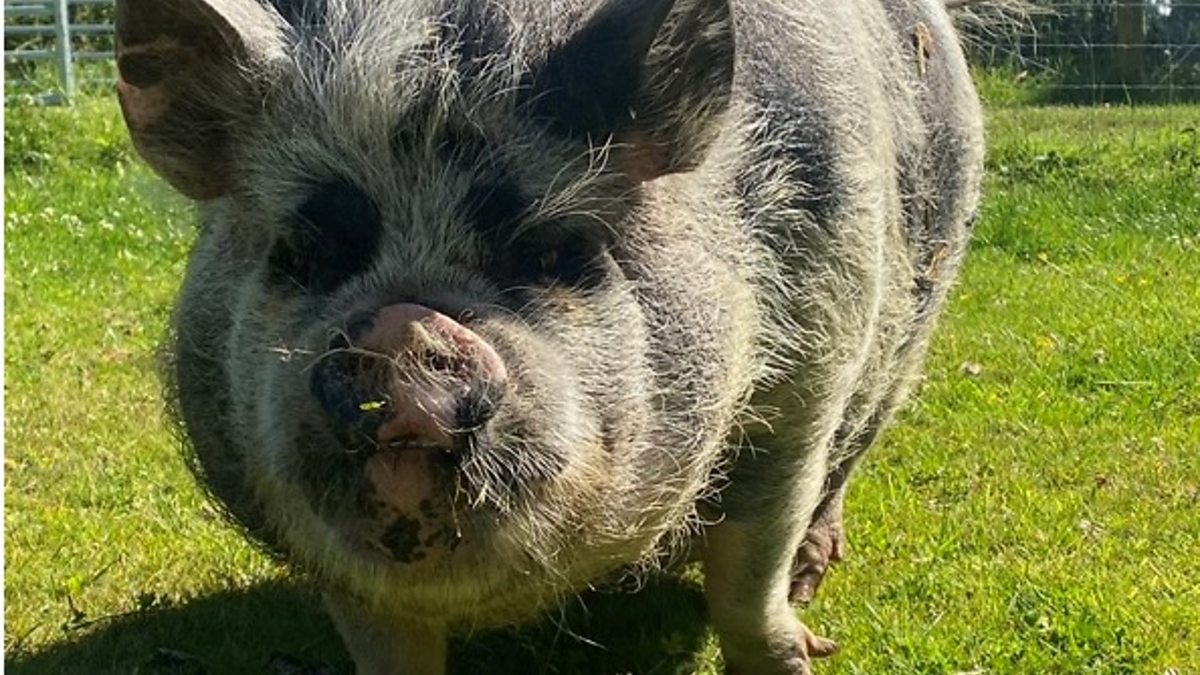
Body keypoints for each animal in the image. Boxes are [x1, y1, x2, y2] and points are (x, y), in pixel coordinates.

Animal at [114, 0, 983, 673]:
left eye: (553, 251)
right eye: (301, 253)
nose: (403, 329)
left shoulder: (804, 390)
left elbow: (750, 567)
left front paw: (806, 650)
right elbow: (383, 638)